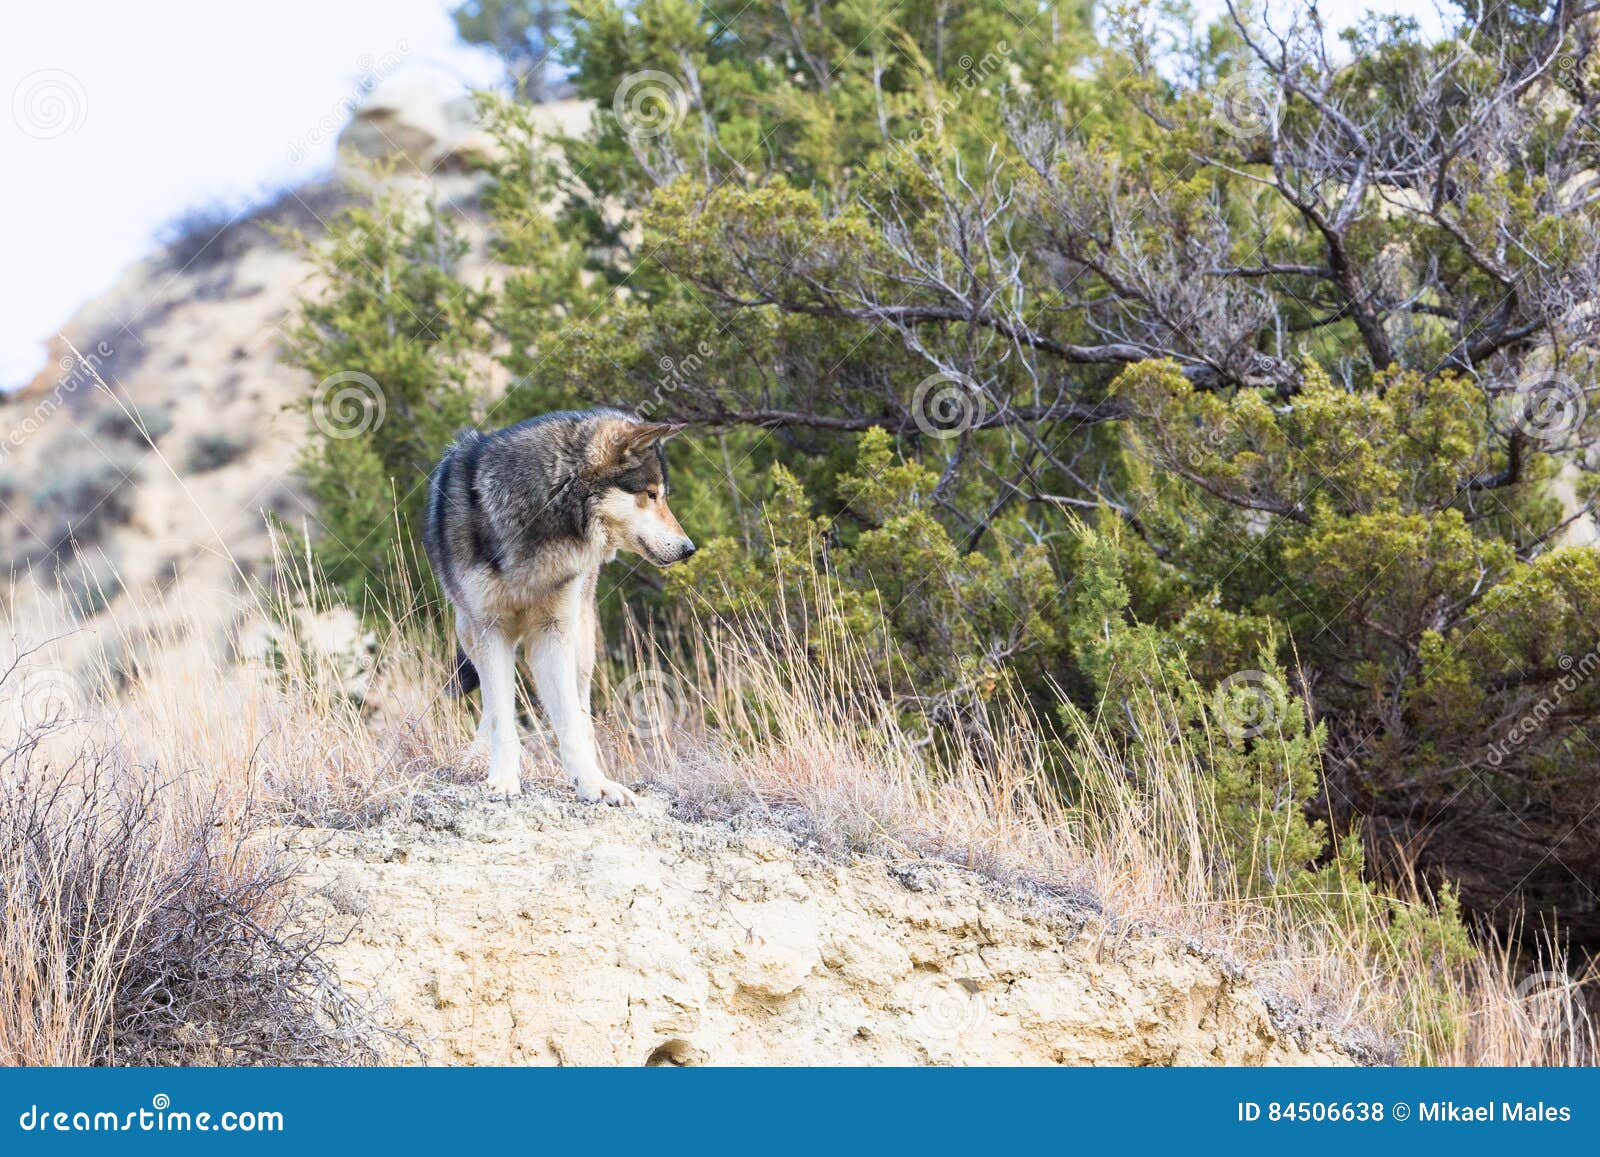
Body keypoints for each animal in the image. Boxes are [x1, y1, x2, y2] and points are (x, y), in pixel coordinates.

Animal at [423, 409, 695, 805]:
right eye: (651, 494)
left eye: (662, 496)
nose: (689, 548)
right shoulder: (490, 630)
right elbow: (502, 716)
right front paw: (502, 780)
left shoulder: (551, 633)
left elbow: (568, 721)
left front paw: (594, 784)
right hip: (468, 633)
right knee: (492, 704)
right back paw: (475, 757)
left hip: (580, 639)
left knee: (580, 710)